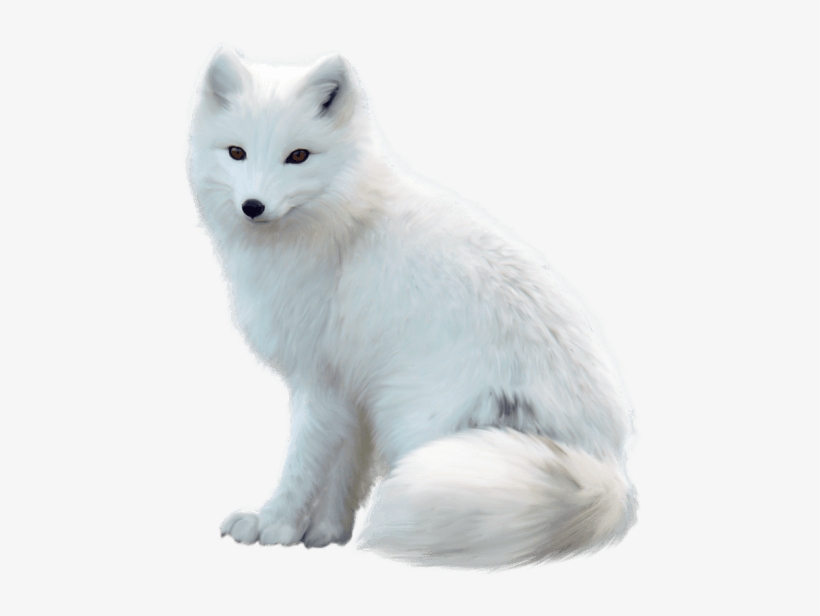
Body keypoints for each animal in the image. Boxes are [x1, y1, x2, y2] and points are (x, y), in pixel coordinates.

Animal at [187, 48, 637, 568]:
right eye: (235, 152)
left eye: (297, 156)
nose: (253, 206)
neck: (342, 224)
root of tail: (610, 468)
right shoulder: (350, 388)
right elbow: (343, 471)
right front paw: (325, 533)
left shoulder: (318, 381)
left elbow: (302, 465)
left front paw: (274, 525)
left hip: (420, 427)